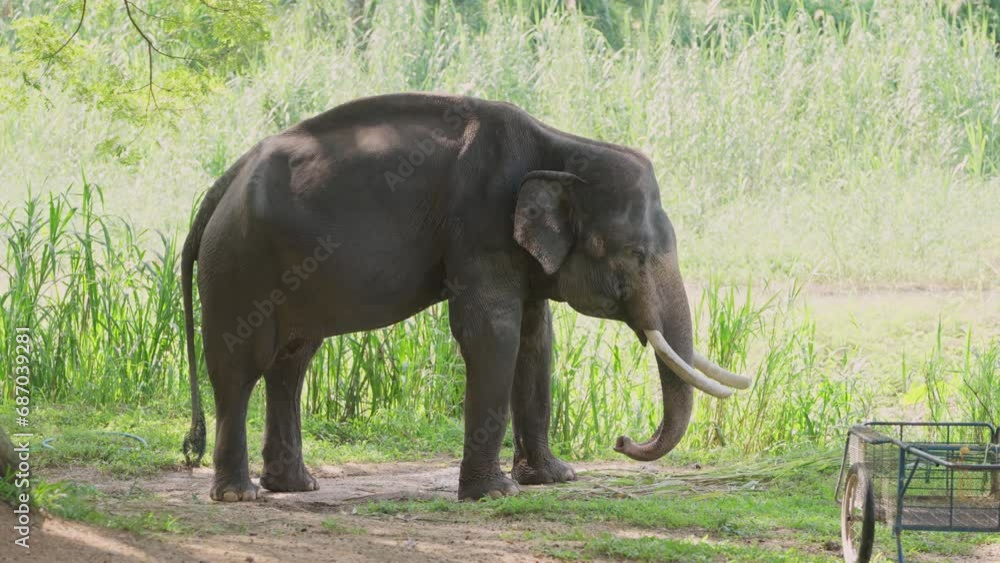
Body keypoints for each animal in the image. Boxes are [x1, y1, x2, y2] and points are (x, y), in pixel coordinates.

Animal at [180, 93, 749, 502]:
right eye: (636, 255)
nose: (623, 440)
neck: (559, 147)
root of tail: (223, 182)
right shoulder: (479, 225)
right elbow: (492, 334)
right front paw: (495, 495)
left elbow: (536, 338)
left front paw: (555, 478)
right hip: (239, 266)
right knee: (242, 366)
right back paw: (238, 496)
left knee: (291, 362)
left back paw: (295, 486)